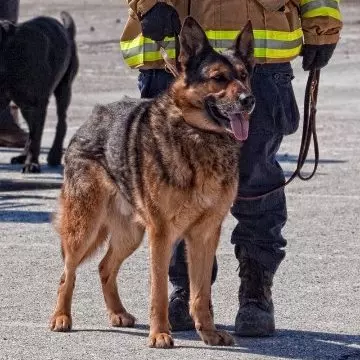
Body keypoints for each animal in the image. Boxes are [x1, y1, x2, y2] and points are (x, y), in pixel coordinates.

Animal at [0, 11, 78, 172]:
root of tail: (67, 32)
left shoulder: (36, 104)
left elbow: (36, 137)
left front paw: (32, 163)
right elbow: (33, 135)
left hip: (63, 89)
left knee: (61, 121)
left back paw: (54, 155)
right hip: (24, 105)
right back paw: (22, 156)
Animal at [50, 17, 256, 348]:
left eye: (244, 76)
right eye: (219, 78)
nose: (248, 100)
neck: (198, 136)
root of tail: (91, 118)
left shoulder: (205, 234)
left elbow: (201, 293)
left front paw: (208, 332)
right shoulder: (161, 234)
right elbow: (158, 290)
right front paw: (160, 333)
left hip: (130, 234)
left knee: (104, 267)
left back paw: (118, 313)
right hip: (85, 228)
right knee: (67, 273)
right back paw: (61, 317)